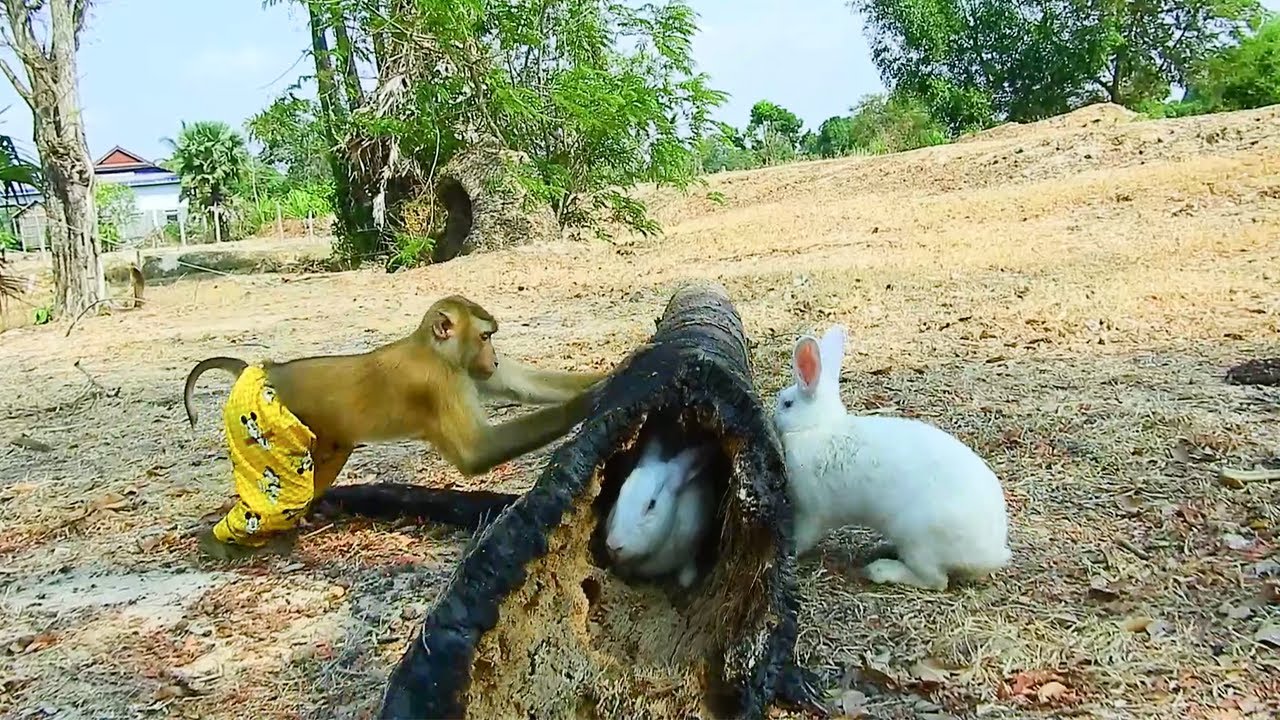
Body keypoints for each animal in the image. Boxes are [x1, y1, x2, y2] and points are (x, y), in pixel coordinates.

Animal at [772, 324, 1012, 591]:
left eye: (787, 403)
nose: (772, 416)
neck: (817, 427)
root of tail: (990, 554)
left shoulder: (812, 512)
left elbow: (802, 536)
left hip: (919, 539)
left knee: (936, 581)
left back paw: (880, 570)